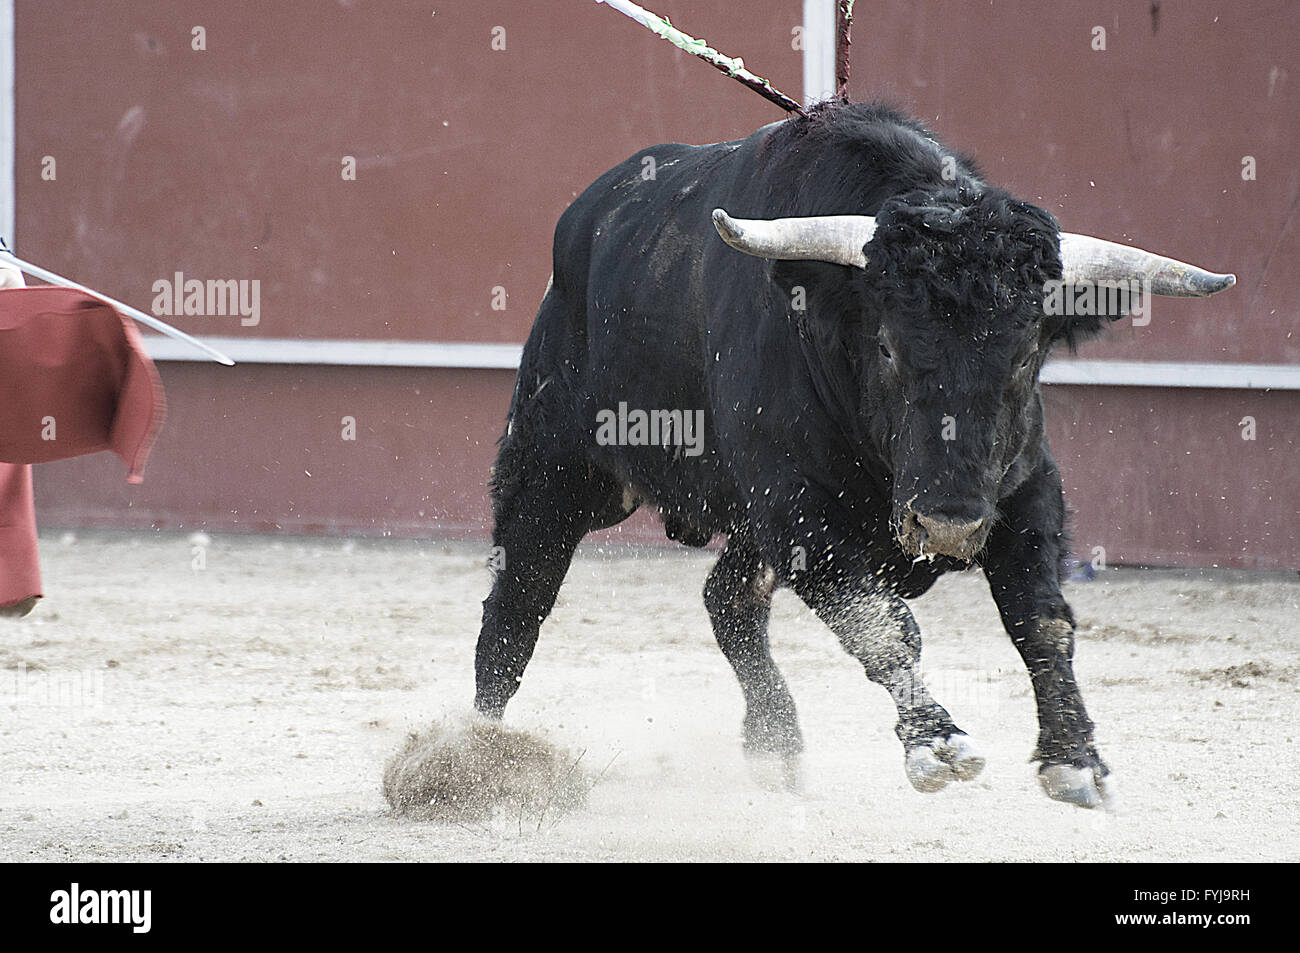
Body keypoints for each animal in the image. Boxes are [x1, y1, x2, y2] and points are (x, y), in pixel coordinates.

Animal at [473, 101, 1235, 808]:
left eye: (1025, 354)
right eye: (889, 346)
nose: (948, 525)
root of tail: (585, 221)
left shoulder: (1025, 491)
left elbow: (1041, 619)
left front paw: (1074, 758)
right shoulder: (800, 513)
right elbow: (883, 626)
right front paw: (936, 743)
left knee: (728, 597)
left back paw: (776, 746)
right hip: (556, 470)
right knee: (516, 608)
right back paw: (475, 763)